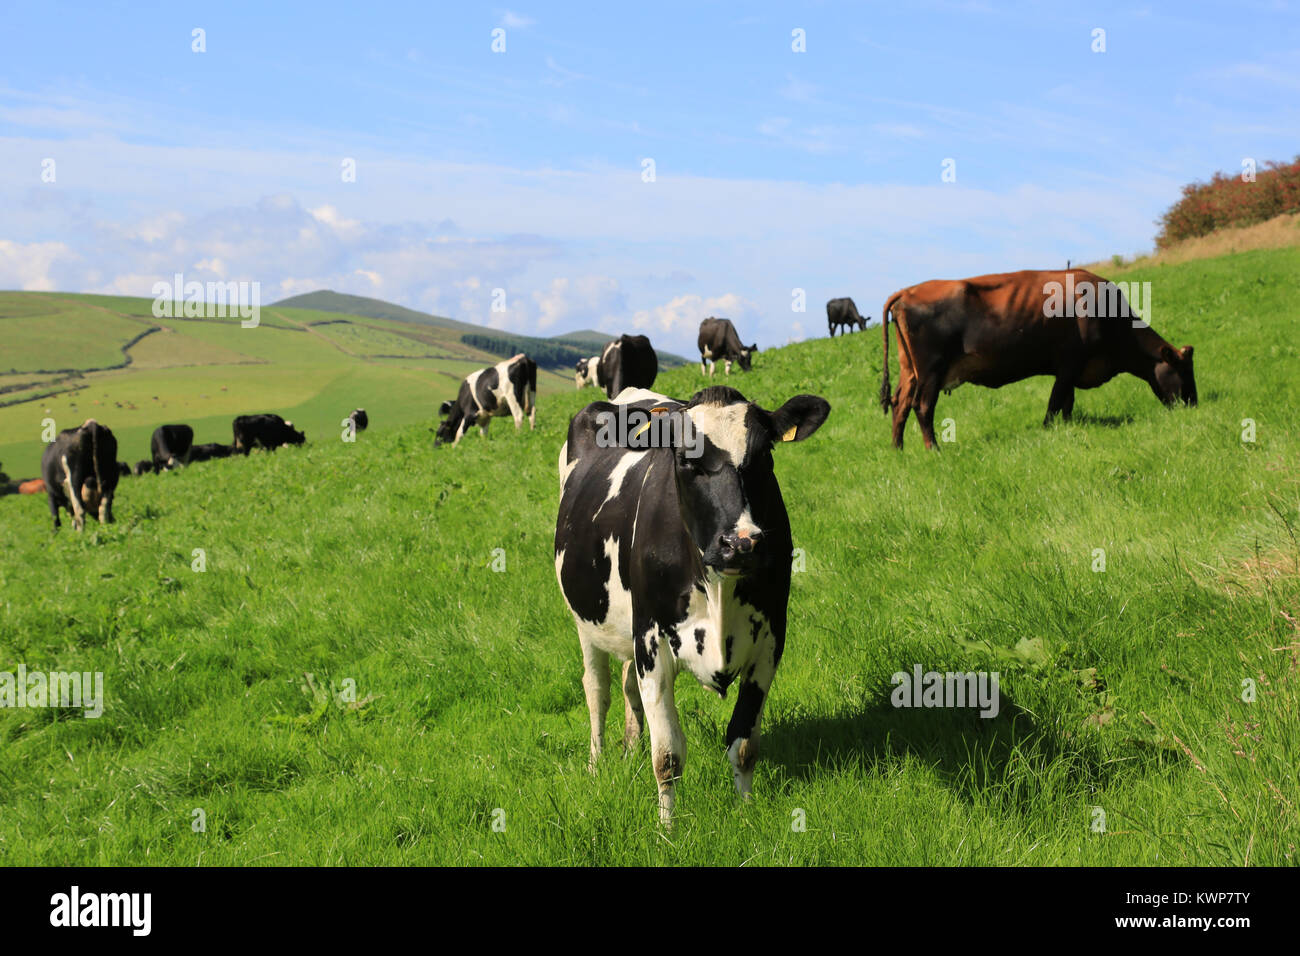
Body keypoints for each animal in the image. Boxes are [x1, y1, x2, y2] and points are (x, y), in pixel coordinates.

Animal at [554, 384, 831, 824]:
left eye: (764, 454)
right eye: (686, 459)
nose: (741, 542)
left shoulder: (769, 642)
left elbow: (744, 745)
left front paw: (745, 812)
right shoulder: (651, 643)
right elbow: (667, 756)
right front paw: (667, 828)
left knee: (627, 684)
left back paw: (630, 747)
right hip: (585, 619)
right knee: (597, 689)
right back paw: (597, 765)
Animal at [880, 269, 1198, 450]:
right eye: (1182, 371)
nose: (1193, 404)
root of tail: (907, 291)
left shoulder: (1070, 370)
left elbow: (1066, 403)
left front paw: (1068, 427)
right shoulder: (1069, 364)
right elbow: (1055, 403)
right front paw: (1048, 430)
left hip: (910, 370)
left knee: (900, 403)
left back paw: (898, 449)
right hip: (931, 370)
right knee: (922, 406)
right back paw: (933, 449)